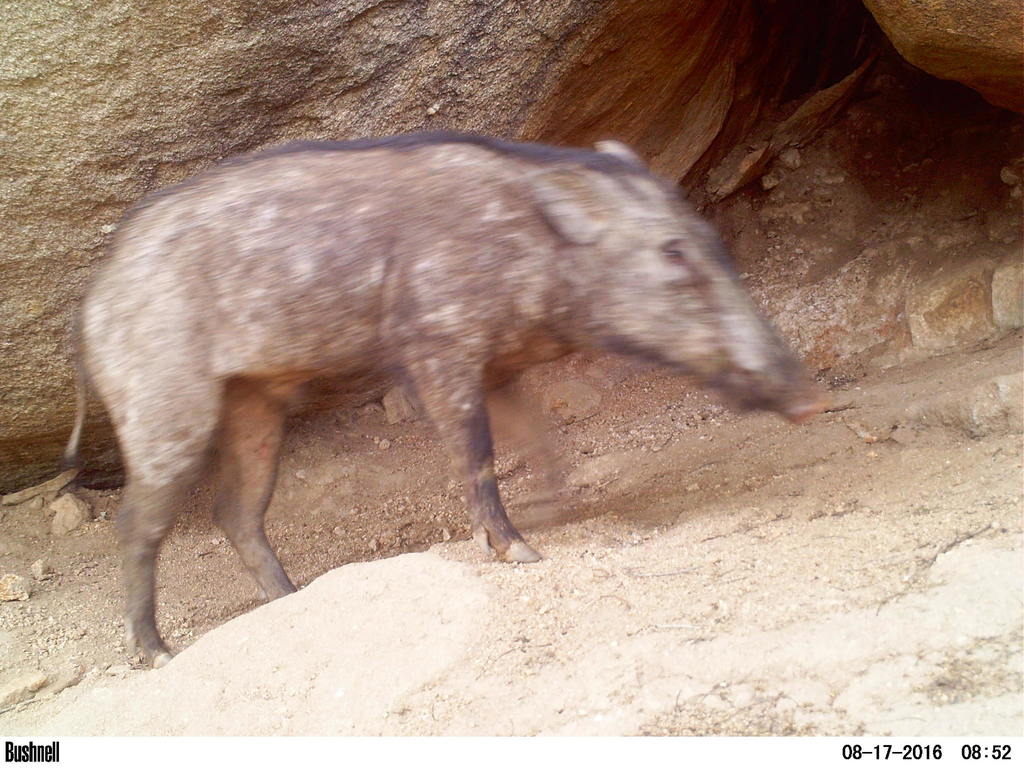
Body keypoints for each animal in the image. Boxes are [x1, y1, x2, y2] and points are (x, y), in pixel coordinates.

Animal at [63, 132, 824, 667]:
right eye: (673, 254)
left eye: (711, 242)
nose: (812, 398)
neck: (529, 253)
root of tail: (89, 308)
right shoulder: (437, 348)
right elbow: (476, 453)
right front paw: (522, 552)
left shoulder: (499, 364)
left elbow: (540, 436)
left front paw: (558, 509)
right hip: (166, 407)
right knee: (136, 523)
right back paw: (159, 652)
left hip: (255, 403)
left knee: (235, 511)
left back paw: (293, 599)